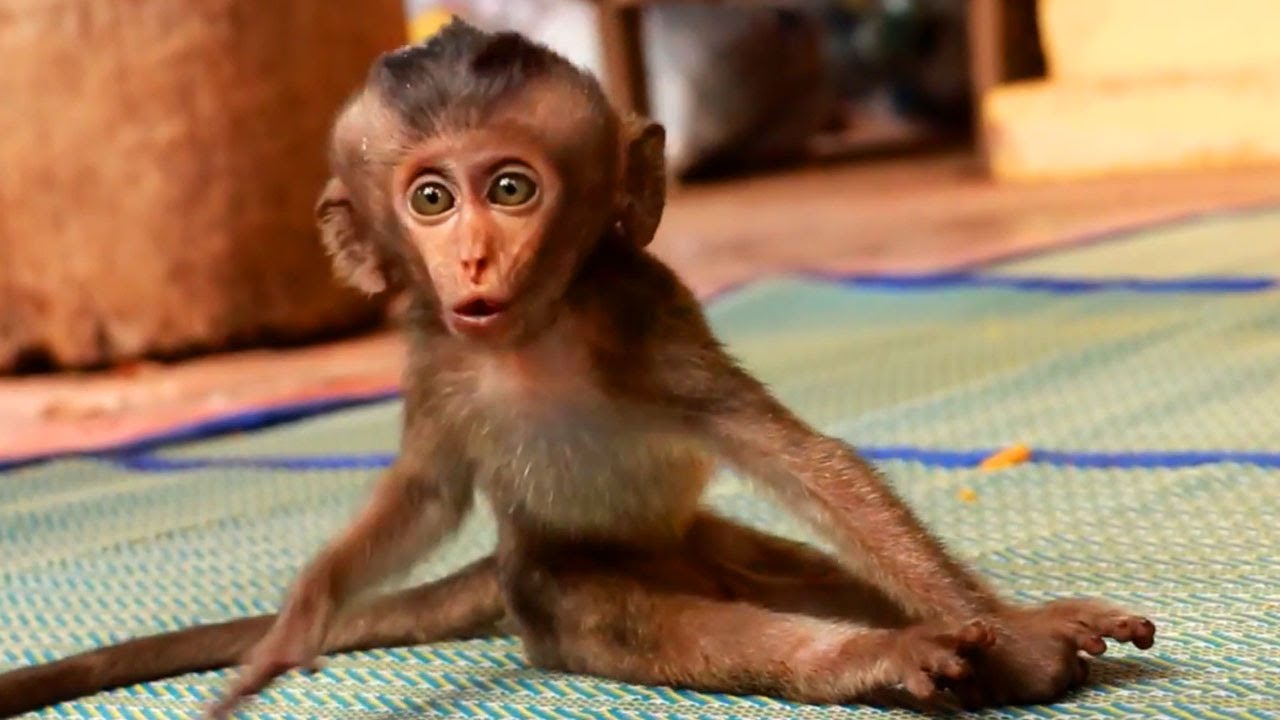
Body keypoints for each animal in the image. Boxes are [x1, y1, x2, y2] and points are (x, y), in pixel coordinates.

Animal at [0, 20, 1156, 719]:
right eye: (431, 200)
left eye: (510, 188)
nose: (472, 259)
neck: (532, 337)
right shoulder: (433, 356)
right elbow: (422, 499)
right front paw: (297, 623)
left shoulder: (647, 310)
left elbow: (798, 456)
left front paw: (1012, 629)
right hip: (554, 585)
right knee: (683, 625)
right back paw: (887, 656)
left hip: (700, 541)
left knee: (816, 570)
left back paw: (976, 638)